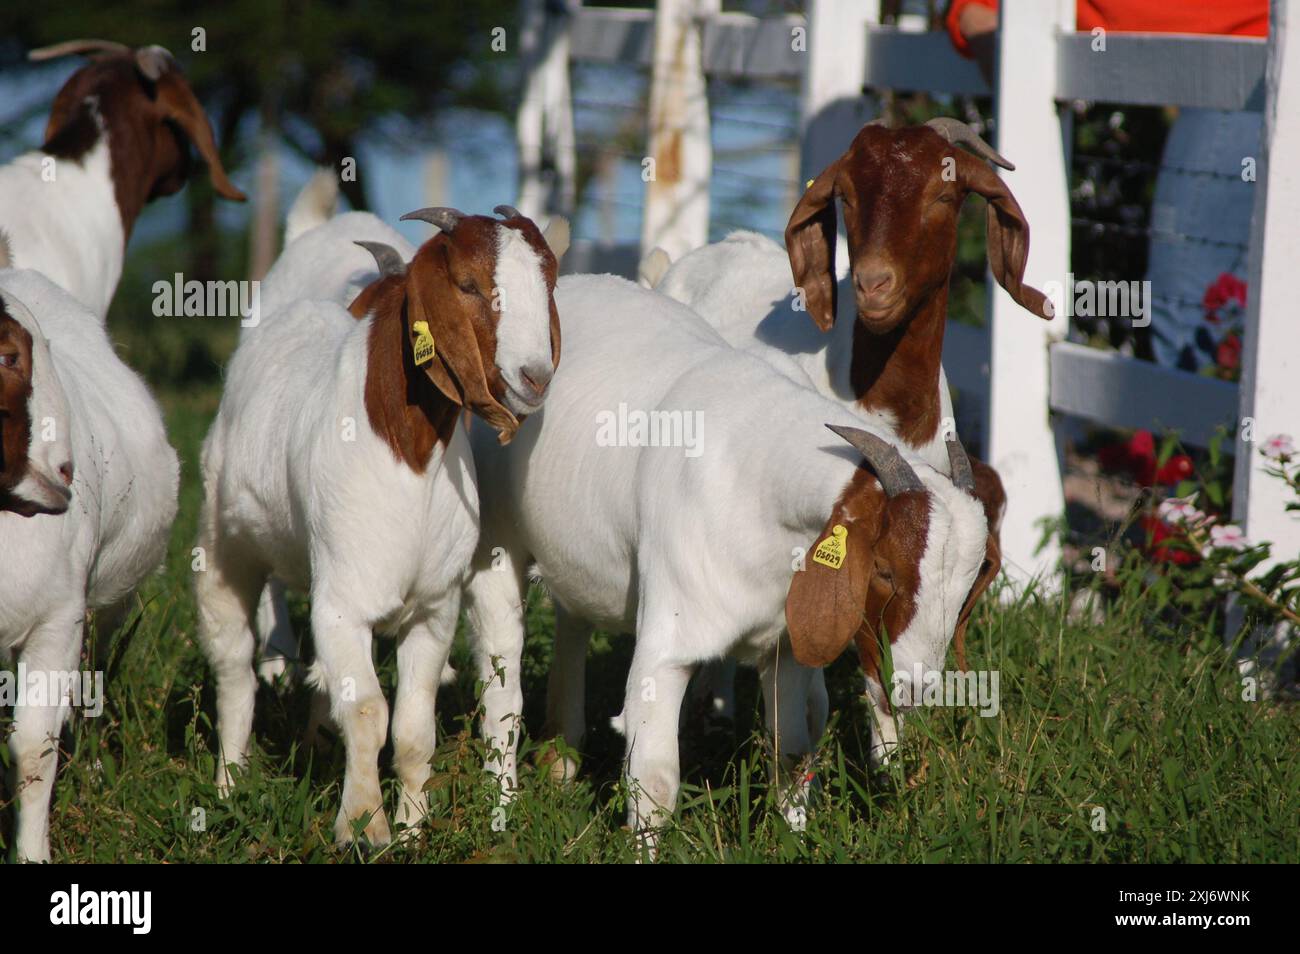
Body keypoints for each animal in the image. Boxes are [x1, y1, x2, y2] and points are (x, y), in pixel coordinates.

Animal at [1, 269, 179, 862]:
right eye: (10, 357)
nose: (63, 471)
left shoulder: (58, 621)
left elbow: (34, 747)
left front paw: (32, 853)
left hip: (107, 604)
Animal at [195, 205, 564, 845]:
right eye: (467, 284)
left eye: (549, 283)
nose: (535, 376)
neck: (409, 455)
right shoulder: (342, 602)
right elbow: (369, 712)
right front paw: (362, 827)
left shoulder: (433, 608)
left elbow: (414, 728)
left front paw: (413, 829)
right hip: (225, 547)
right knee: (235, 669)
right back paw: (229, 790)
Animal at [463, 274, 992, 842]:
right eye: (885, 571)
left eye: (965, 593)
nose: (915, 687)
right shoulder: (668, 639)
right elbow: (654, 780)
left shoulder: (790, 644)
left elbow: (792, 752)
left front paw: (794, 838)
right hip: (494, 543)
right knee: (501, 678)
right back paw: (502, 808)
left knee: (573, 620)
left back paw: (561, 757)